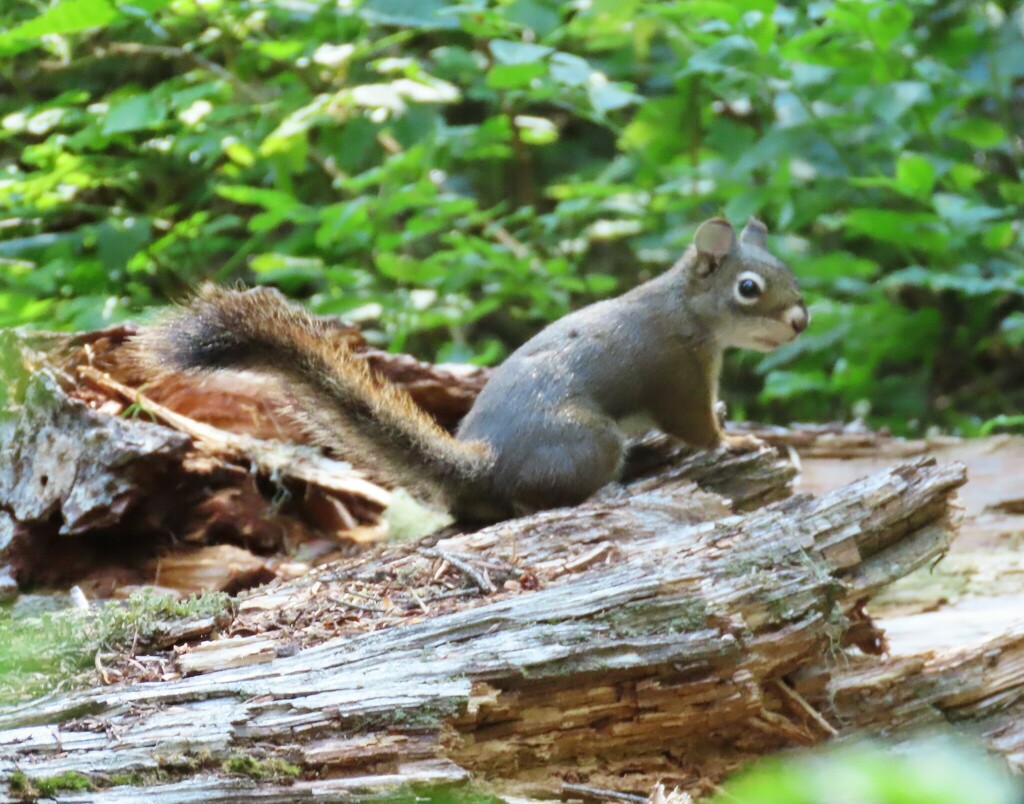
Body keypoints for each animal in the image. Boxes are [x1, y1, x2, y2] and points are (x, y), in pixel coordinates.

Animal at [134, 216, 808, 522]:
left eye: (788, 271)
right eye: (749, 288)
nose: (801, 321)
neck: (685, 308)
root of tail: (486, 464)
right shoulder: (676, 371)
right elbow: (695, 425)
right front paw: (735, 438)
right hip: (588, 439)